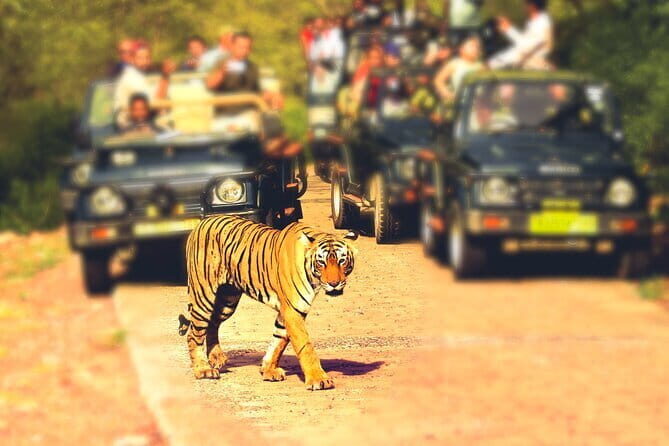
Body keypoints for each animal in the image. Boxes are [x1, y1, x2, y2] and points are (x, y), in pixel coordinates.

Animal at [179, 215, 358, 391]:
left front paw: (268, 370)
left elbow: (278, 341)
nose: (334, 283)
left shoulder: (289, 311)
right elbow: (305, 345)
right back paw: (203, 369)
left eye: (342, 261)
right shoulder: (293, 310)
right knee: (194, 334)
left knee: (212, 324)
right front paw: (318, 379)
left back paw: (217, 358)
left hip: (227, 301)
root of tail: (202, 222)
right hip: (204, 296)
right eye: (321, 262)